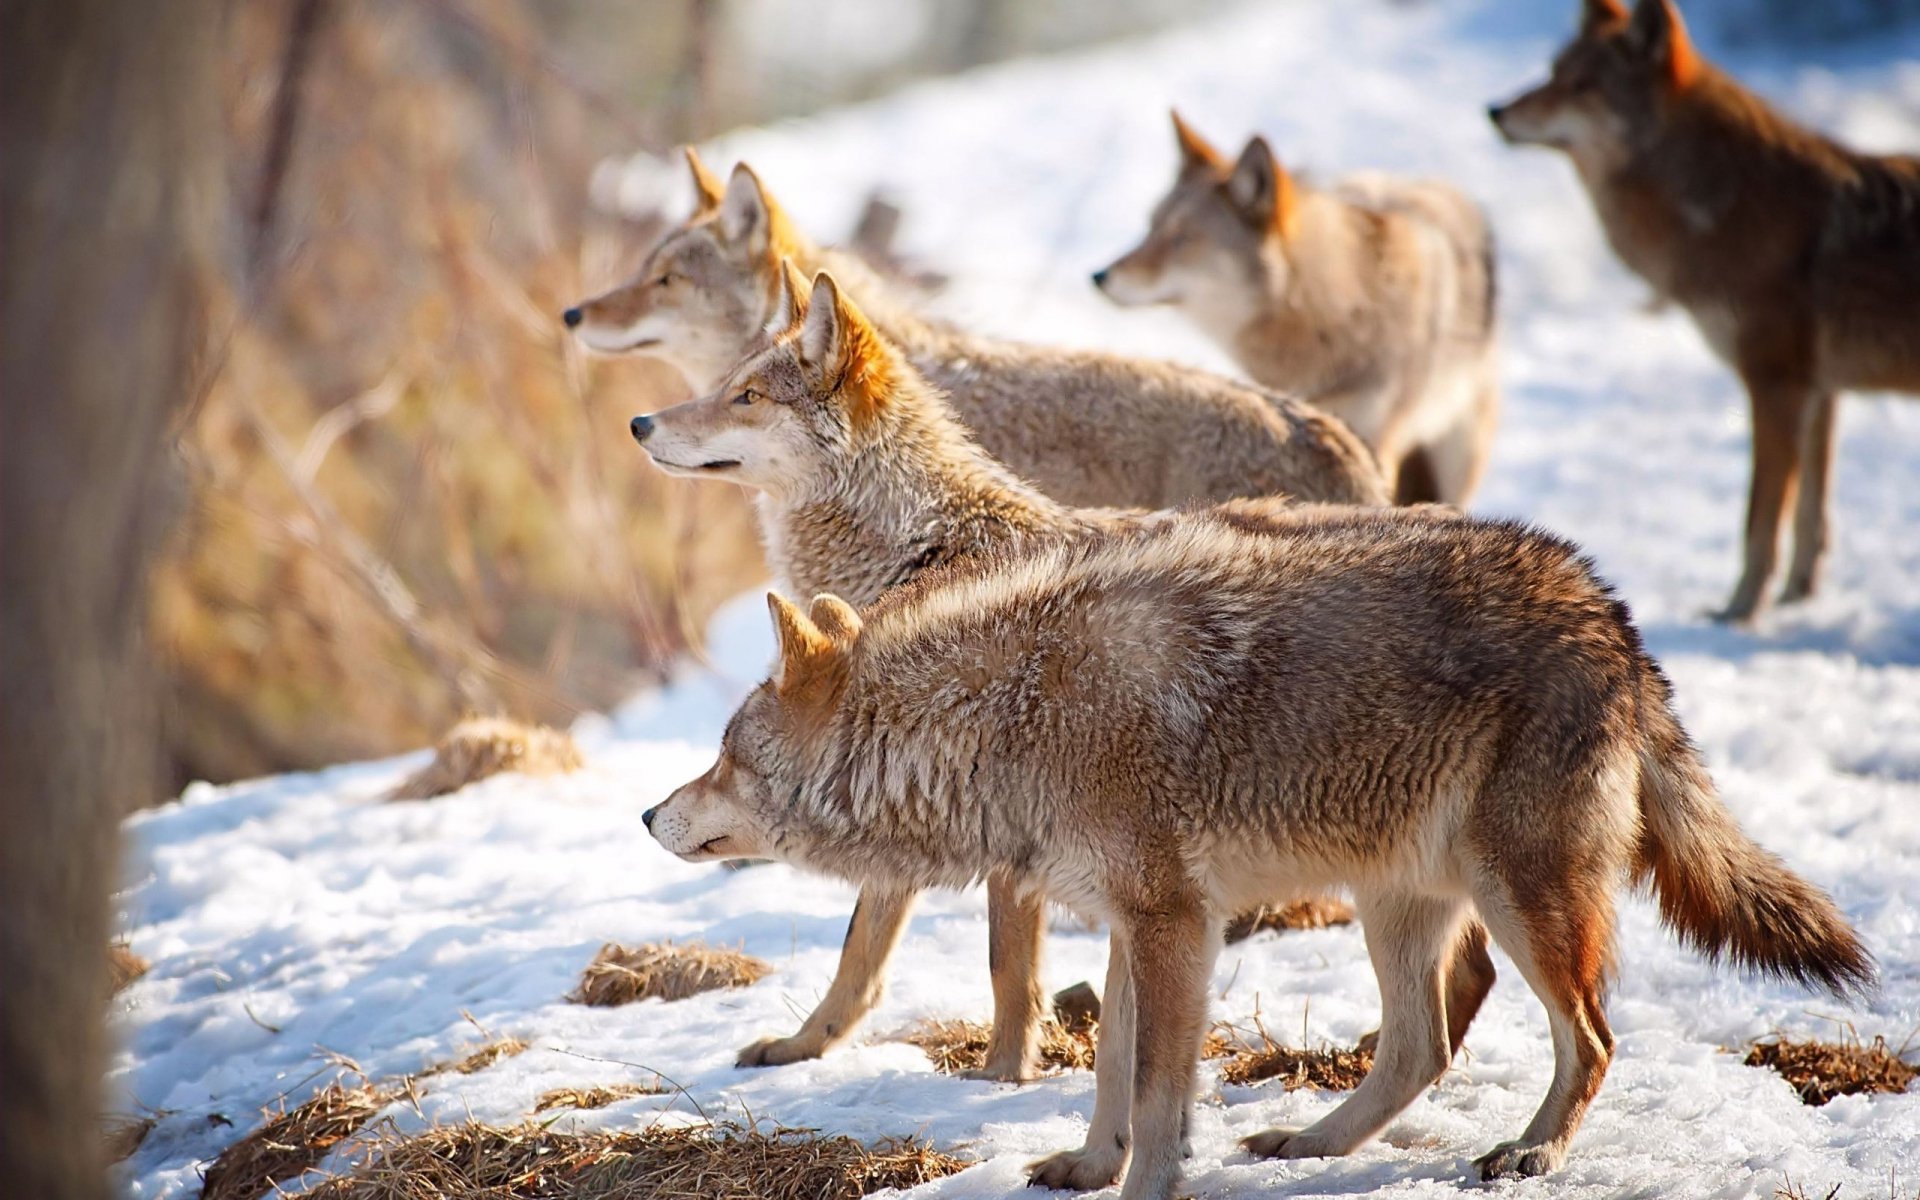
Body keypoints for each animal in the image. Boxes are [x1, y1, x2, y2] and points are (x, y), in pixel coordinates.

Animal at [631, 263, 1497, 1081]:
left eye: (745, 395)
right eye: (723, 382)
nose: (639, 422)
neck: (924, 550)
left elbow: (1004, 967)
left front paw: (1003, 1075)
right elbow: (861, 954)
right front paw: (803, 1047)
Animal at [646, 508, 1872, 1200]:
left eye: (723, 754)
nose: (650, 814)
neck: (1011, 715)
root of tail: (1614, 618)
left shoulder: (1173, 925)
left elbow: (1156, 1094)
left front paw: (1140, 1190)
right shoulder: (1136, 927)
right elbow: (1110, 1074)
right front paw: (1086, 1170)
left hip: (1520, 901)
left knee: (1593, 1041)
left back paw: (1531, 1158)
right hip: (1396, 902)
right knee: (1421, 1047)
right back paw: (1313, 1143)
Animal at [1491, 0, 1920, 621]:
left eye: (1582, 86)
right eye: (1553, 74)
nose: (1496, 111)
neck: (1730, 204)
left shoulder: (1777, 385)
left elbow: (1760, 519)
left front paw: (1739, 612)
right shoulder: (1821, 392)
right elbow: (1811, 517)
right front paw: (1797, 601)